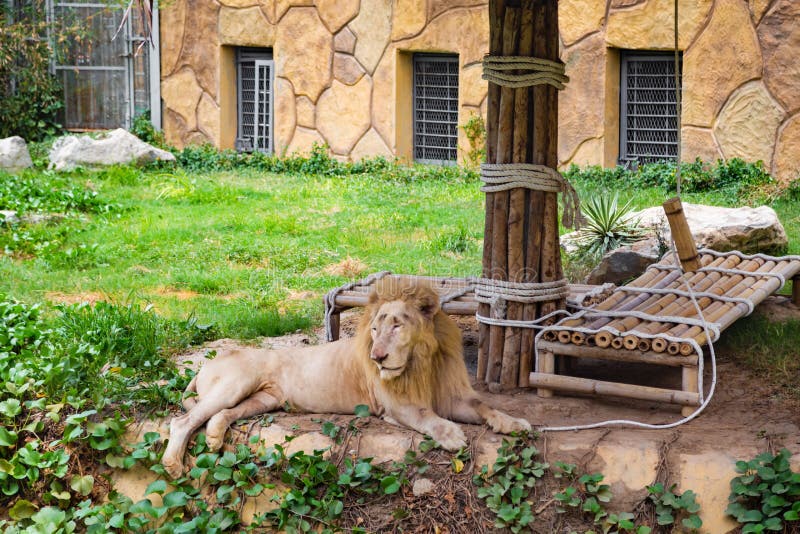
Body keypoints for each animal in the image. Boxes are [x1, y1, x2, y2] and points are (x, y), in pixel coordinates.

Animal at [162, 279, 531, 478]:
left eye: (397, 325)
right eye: (375, 329)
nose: (377, 358)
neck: (421, 362)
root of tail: (205, 365)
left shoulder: (452, 396)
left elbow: (484, 407)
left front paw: (515, 424)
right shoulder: (397, 407)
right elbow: (428, 417)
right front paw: (452, 435)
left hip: (261, 399)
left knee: (219, 416)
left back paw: (214, 439)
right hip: (235, 384)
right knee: (183, 421)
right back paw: (173, 465)